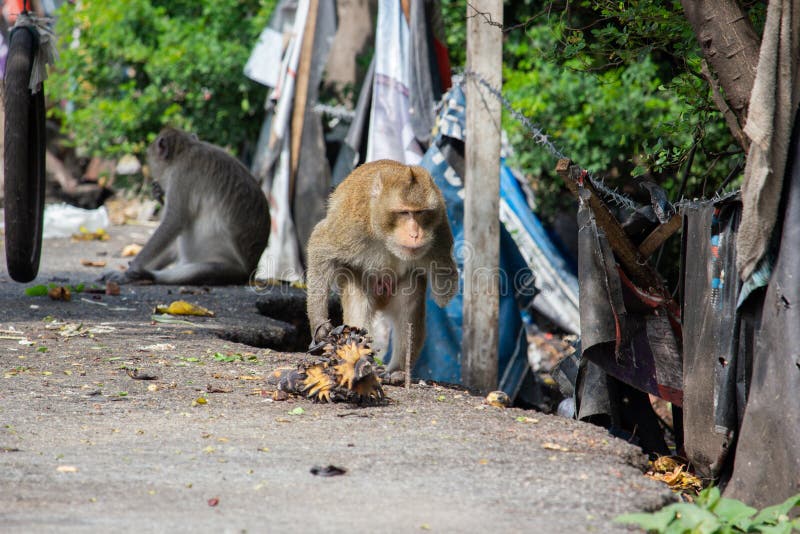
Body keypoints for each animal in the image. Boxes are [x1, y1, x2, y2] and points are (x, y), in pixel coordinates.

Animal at [104, 127, 270, 285]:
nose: (154, 178)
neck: (186, 149)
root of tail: (251, 269)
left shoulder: (180, 176)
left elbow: (174, 221)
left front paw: (129, 271)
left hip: (224, 262)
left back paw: (149, 275)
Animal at [305, 159, 459, 375]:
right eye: (404, 212)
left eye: (420, 213)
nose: (415, 234)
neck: (385, 235)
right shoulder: (350, 227)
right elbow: (320, 245)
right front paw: (319, 324)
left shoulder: (440, 226)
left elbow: (446, 281)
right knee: (358, 300)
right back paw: (359, 357)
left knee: (409, 301)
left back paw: (398, 370)